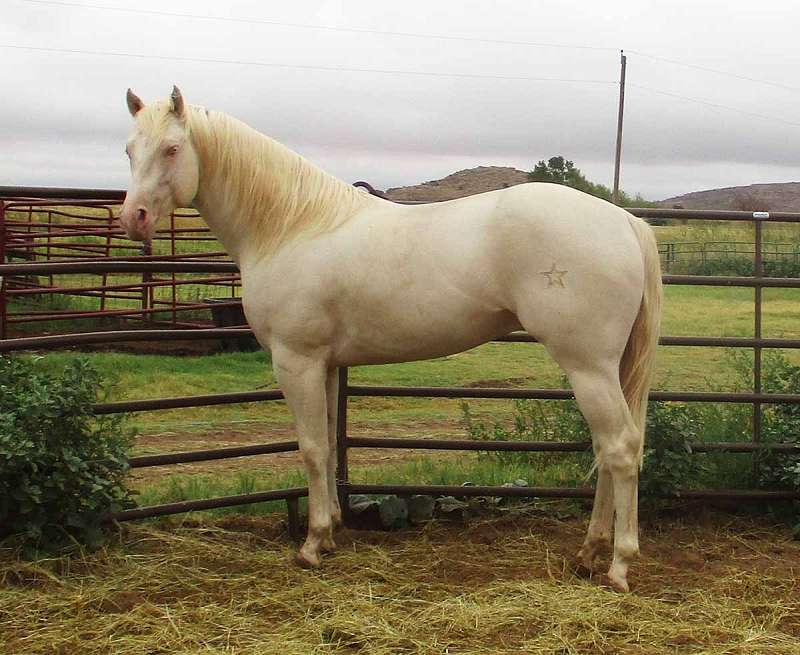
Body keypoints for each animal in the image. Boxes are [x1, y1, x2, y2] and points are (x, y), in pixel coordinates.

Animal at [119, 86, 662, 592]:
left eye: (171, 148)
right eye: (129, 149)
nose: (133, 218)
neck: (292, 226)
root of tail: (623, 220)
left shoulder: (296, 361)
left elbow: (311, 448)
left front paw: (312, 545)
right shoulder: (326, 365)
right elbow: (328, 446)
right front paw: (332, 531)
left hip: (587, 366)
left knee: (618, 448)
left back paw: (618, 565)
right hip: (603, 369)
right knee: (607, 450)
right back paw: (589, 552)